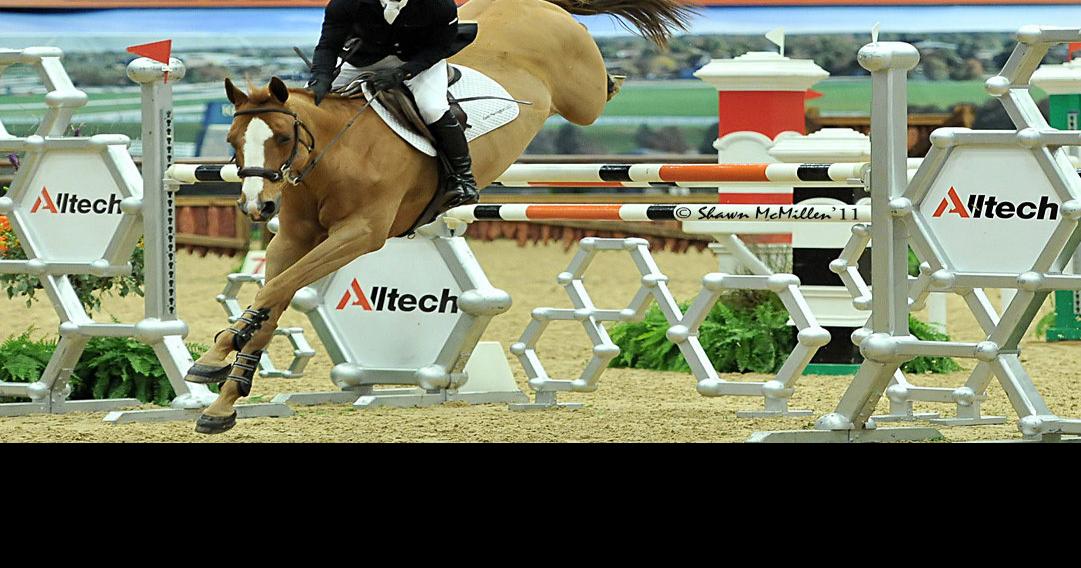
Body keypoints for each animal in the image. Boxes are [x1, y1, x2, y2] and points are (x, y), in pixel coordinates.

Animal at [186, 0, 696, 434]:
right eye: (233, 142)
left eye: (281, 139)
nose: (258, 206)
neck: (337, 155)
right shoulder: (292, 236)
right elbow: (272, 298)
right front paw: (221, 390)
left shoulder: (361, 234)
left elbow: (274, 290)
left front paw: (218, 356)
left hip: (580, 98)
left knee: (595, 96)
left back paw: (618, 79)